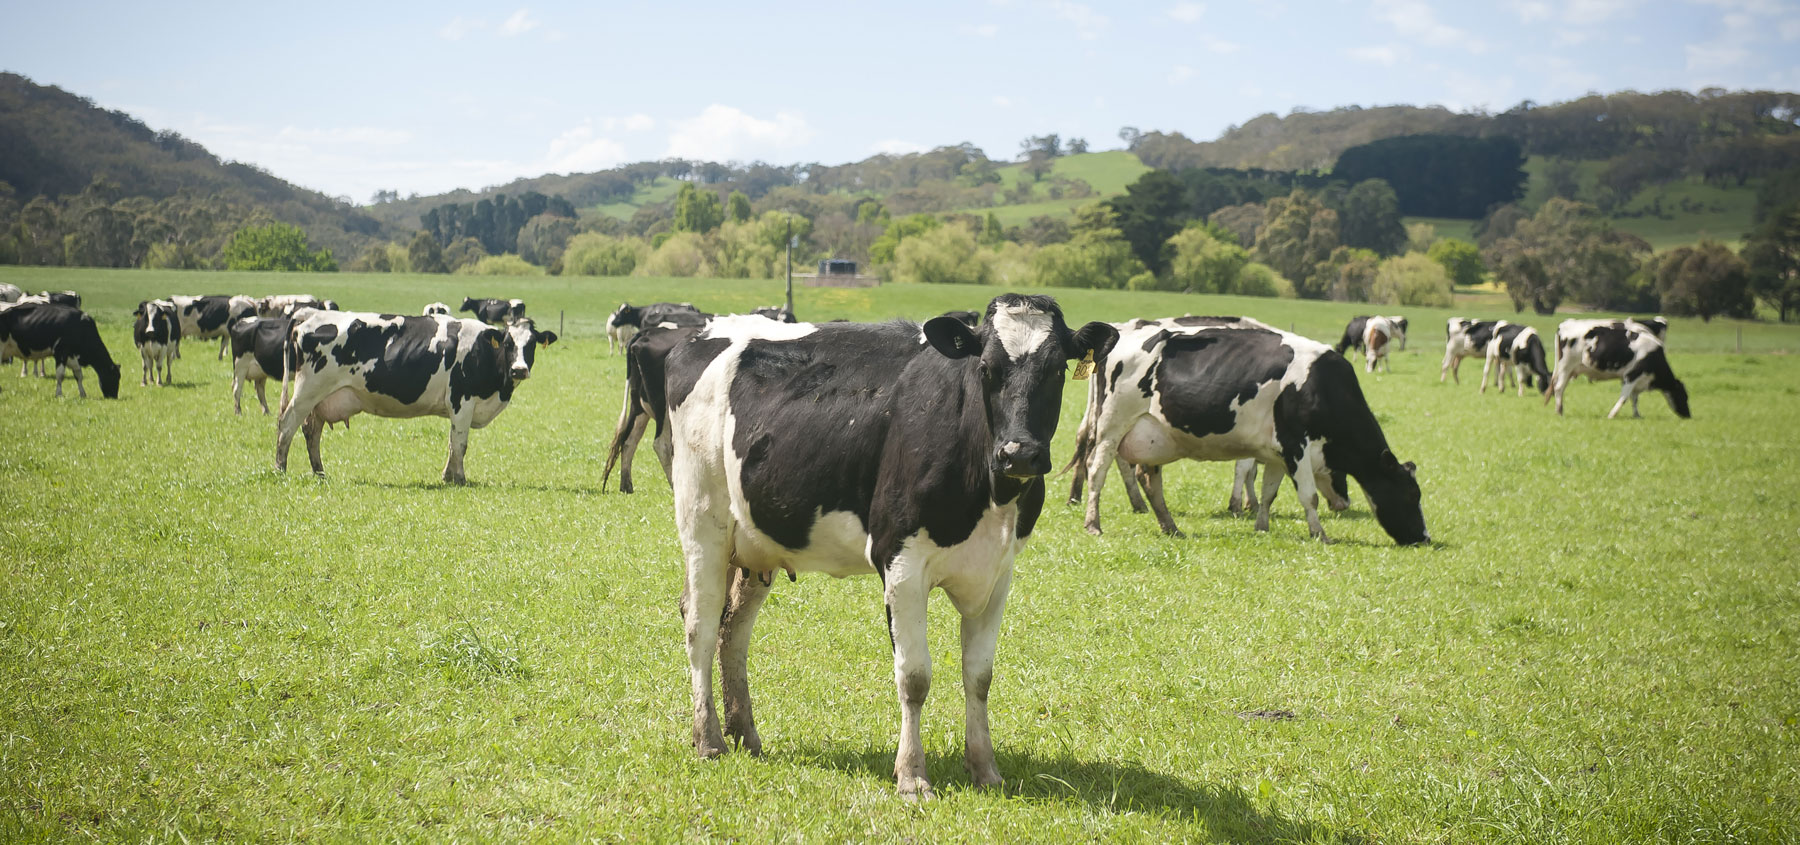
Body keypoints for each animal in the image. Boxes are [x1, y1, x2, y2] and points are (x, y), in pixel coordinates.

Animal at [275, 312, 557, 483]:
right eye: (508, 343)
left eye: (532, 344)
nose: (519, 369)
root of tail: (309, 315)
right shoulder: (462, 400)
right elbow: (460, 444)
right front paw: (458, 478)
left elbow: (452, 443)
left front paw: (448, 476)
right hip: (307, 391)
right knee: (286, 425)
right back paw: (280, 468)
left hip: (319, 399)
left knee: (311, 431)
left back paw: (319, 472)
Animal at [661, 294, 1114, 799]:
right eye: (986, 368)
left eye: (1056, 369)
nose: (1019, 453)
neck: (992, 498)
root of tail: (702, 333)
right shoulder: (900, 562)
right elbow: (914, 677)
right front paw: (912, 775)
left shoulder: (998, 572)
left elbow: (979, 676)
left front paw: (985, 768)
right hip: (702, 522)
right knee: (700, 624)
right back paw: (708, 738)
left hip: (756, 543)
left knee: (734, 629)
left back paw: (745, 733)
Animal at [1074, 323, 1427, 545]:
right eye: (1412, 495)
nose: (1424, 537)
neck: (1322, 385)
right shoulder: (1296, 444)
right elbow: (1308, 495)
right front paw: (1320, 534)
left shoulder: (1277, 453)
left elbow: (1269, 493)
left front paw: (1262, 526)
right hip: (1112, 427)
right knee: (1097, 470)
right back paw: (1093, 524)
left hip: (1154, 437)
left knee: (1150, 481)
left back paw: (1171, 527)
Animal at [1549, 319, 1689, 418]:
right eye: (1684, 396)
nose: (1688, 415)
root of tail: (1565, 324)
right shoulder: (1631, 376)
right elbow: (1624, 398)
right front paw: (1612, 415)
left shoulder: (1634, 380)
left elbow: (1634, 398)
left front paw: (1637, 415)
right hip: (1566, 366)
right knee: (1559, 388)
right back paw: (1559, 411)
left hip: (1570, 370)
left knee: (1561, 388)